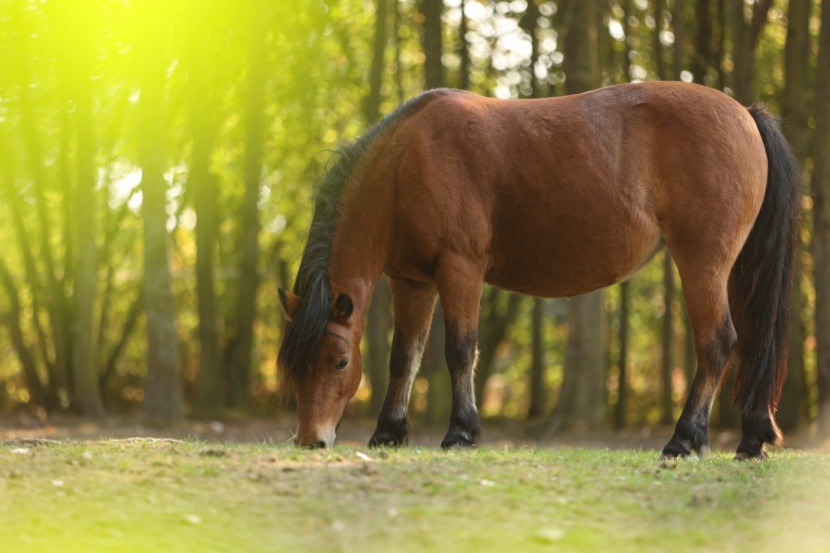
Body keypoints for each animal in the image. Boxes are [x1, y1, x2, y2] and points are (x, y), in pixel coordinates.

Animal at [277, 81, 800, 459]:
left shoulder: (459, 268)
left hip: (702, 264)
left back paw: (685, 440)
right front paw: (388, 434)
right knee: (750, 343)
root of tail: (745, 114)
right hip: (733, 270)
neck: (408, 162)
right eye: (293, 364)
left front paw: (460, 433)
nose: (310, 439)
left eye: (339, 361)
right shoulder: (412, 282)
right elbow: (404, 358)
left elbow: (459, 351)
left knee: (717, 344)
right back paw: (752, 440)